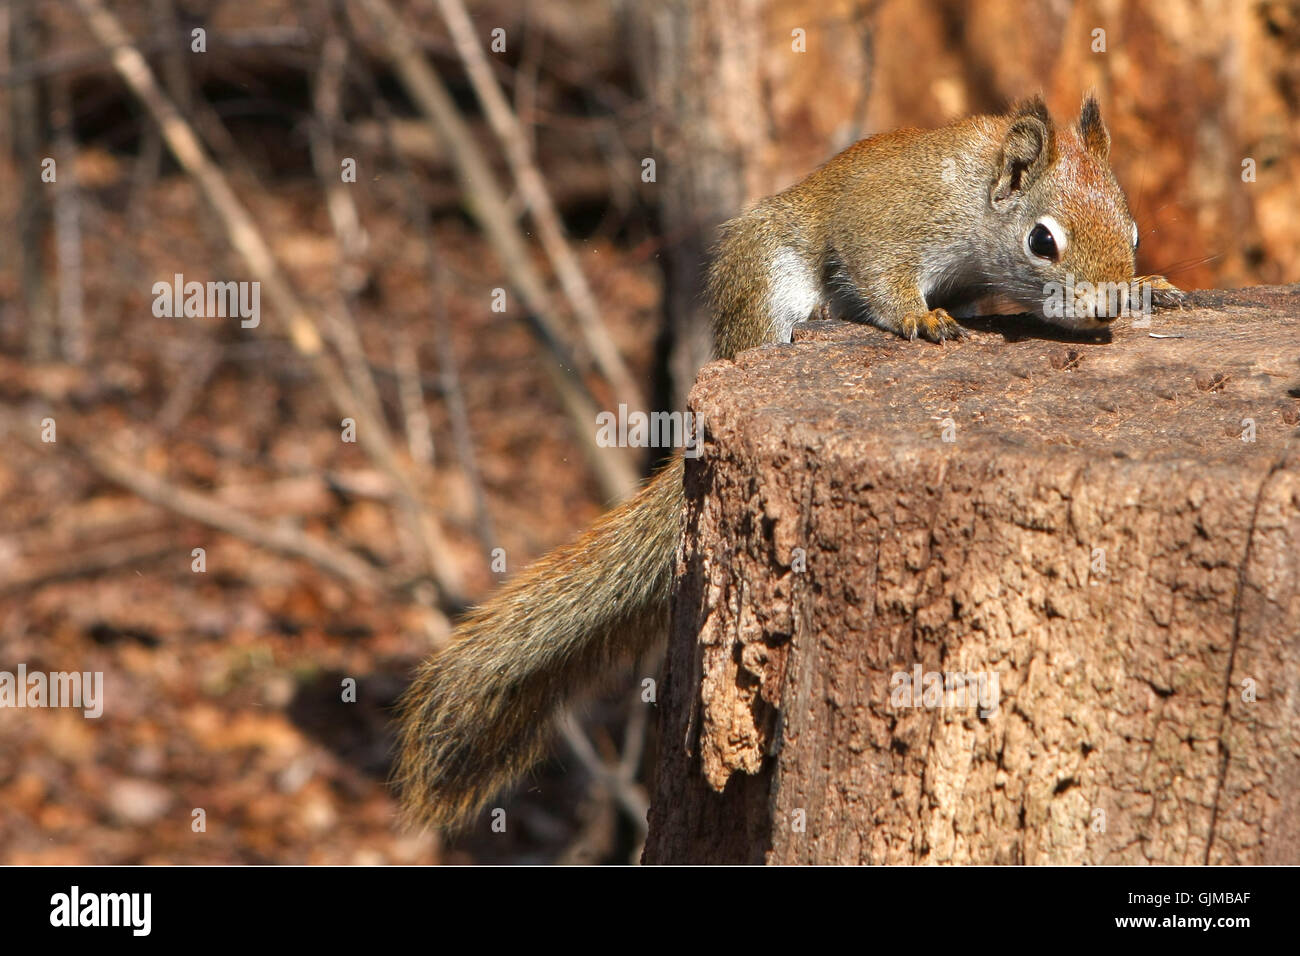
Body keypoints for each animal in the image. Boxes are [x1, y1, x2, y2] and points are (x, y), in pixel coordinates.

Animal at [394, 94, 1183, 831]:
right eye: (1042, 241)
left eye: (1134, 231)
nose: (1108, 303)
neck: (978, 195)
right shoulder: (892, 222)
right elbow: (881, 271)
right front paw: (920, 317)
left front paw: (1154, 287)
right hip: (765, 276)